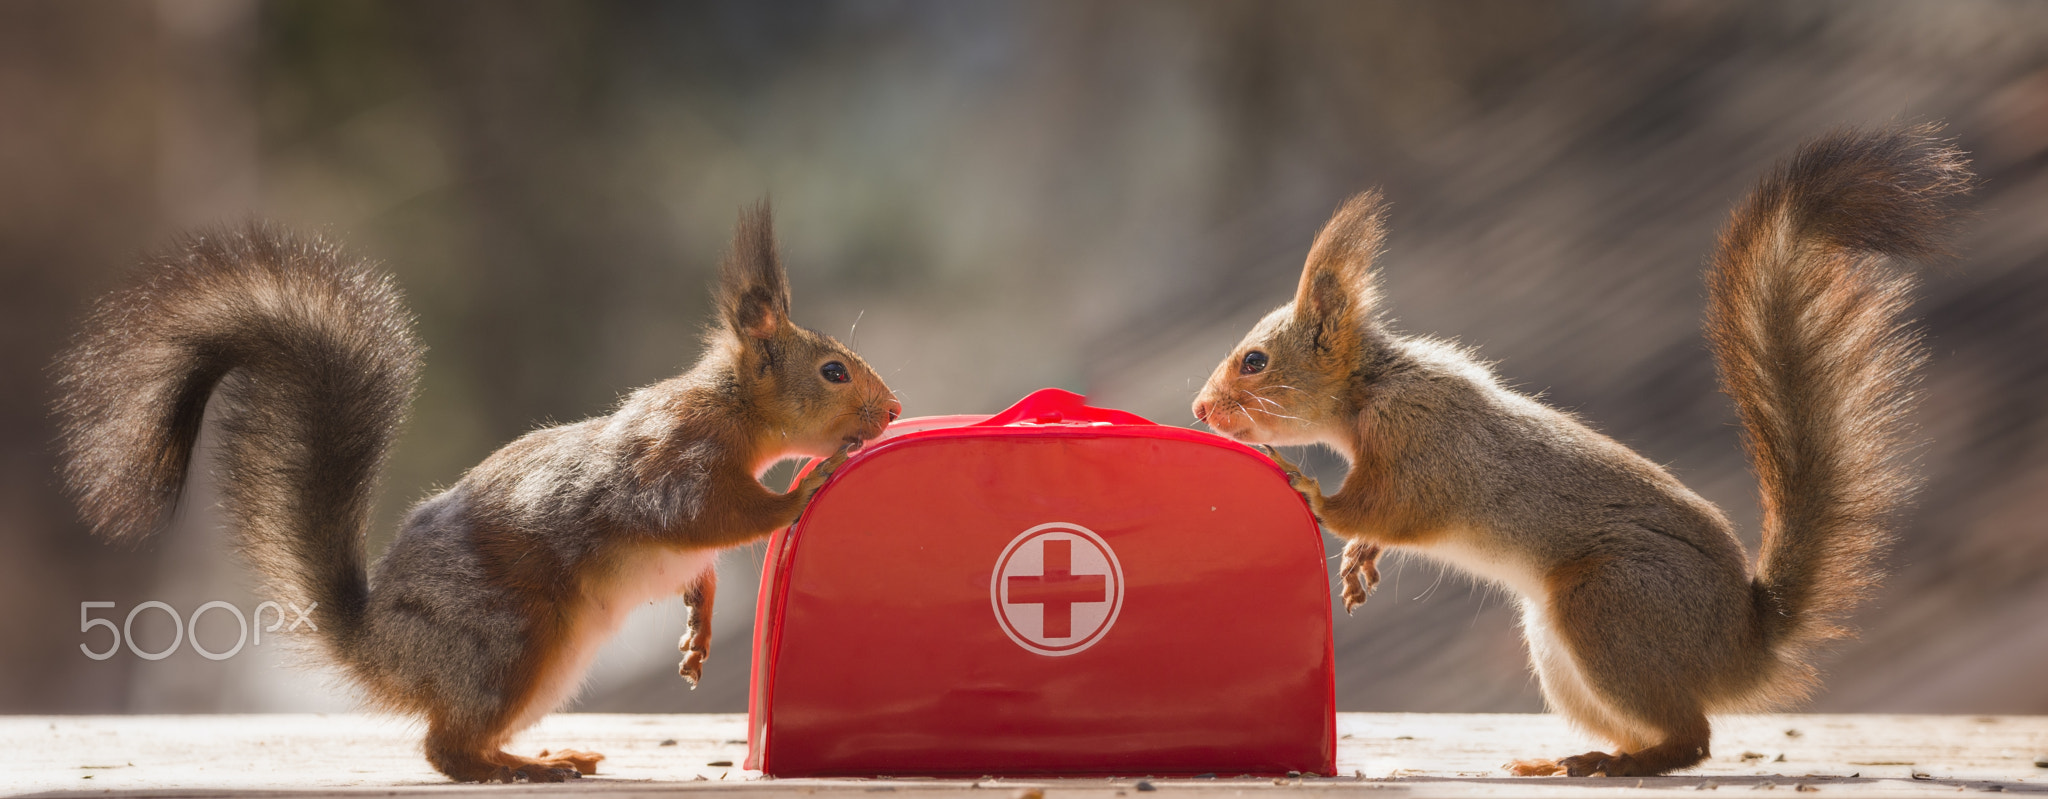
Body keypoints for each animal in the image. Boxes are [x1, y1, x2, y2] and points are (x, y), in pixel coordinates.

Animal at [53, 203, 901, 783]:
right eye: (833, 371)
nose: (892, 410)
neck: (733, 410)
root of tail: (380, 648)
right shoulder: (674, 465)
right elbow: (715, 516)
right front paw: (805, 485)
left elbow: (702, 564)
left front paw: (699, 623)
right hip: (510, 640)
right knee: (445, 748)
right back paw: (524, 768)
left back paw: (544, 750)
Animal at [1191, 126, 1972, 777]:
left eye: (1255, 362)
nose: (1200, 409)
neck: (1372, 390)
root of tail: (1740, 645)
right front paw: (1358, 563)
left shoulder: (1424, 446)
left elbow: (1388, 508)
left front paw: (1311, 492)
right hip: (1562, 648)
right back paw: (1573, 757)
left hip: (1609, 608)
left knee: (1693, 738)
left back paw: (1621, 763)